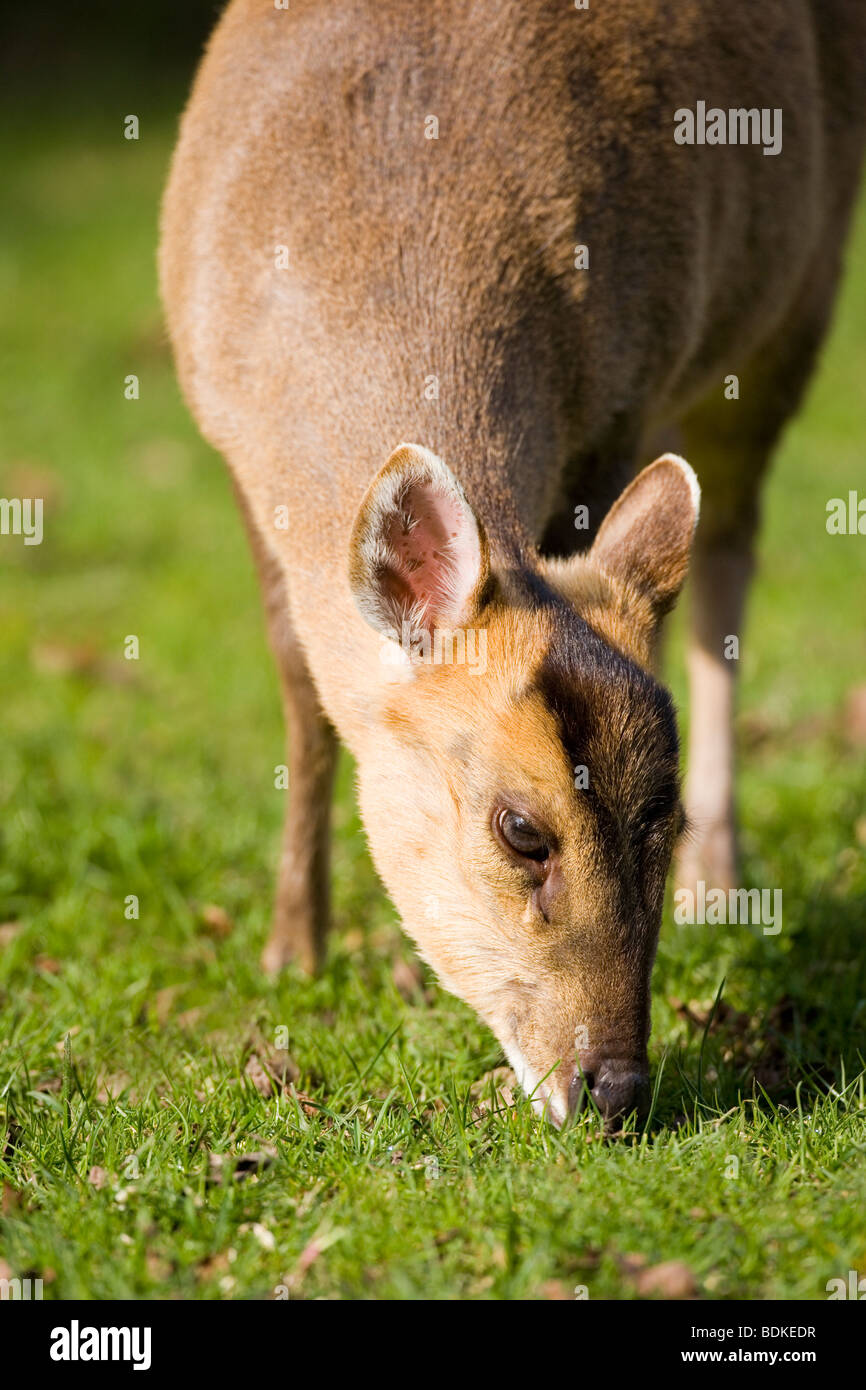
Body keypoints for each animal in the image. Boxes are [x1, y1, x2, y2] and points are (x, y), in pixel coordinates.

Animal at [160, 0, 866, 1130]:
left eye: (656, 811)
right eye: (521, 830)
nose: (614, 1086)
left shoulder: (629, 389)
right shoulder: (227, 444)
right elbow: (300, 693)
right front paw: (292, 953)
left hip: (796, 298)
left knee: (728, 555)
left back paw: (723, 884)